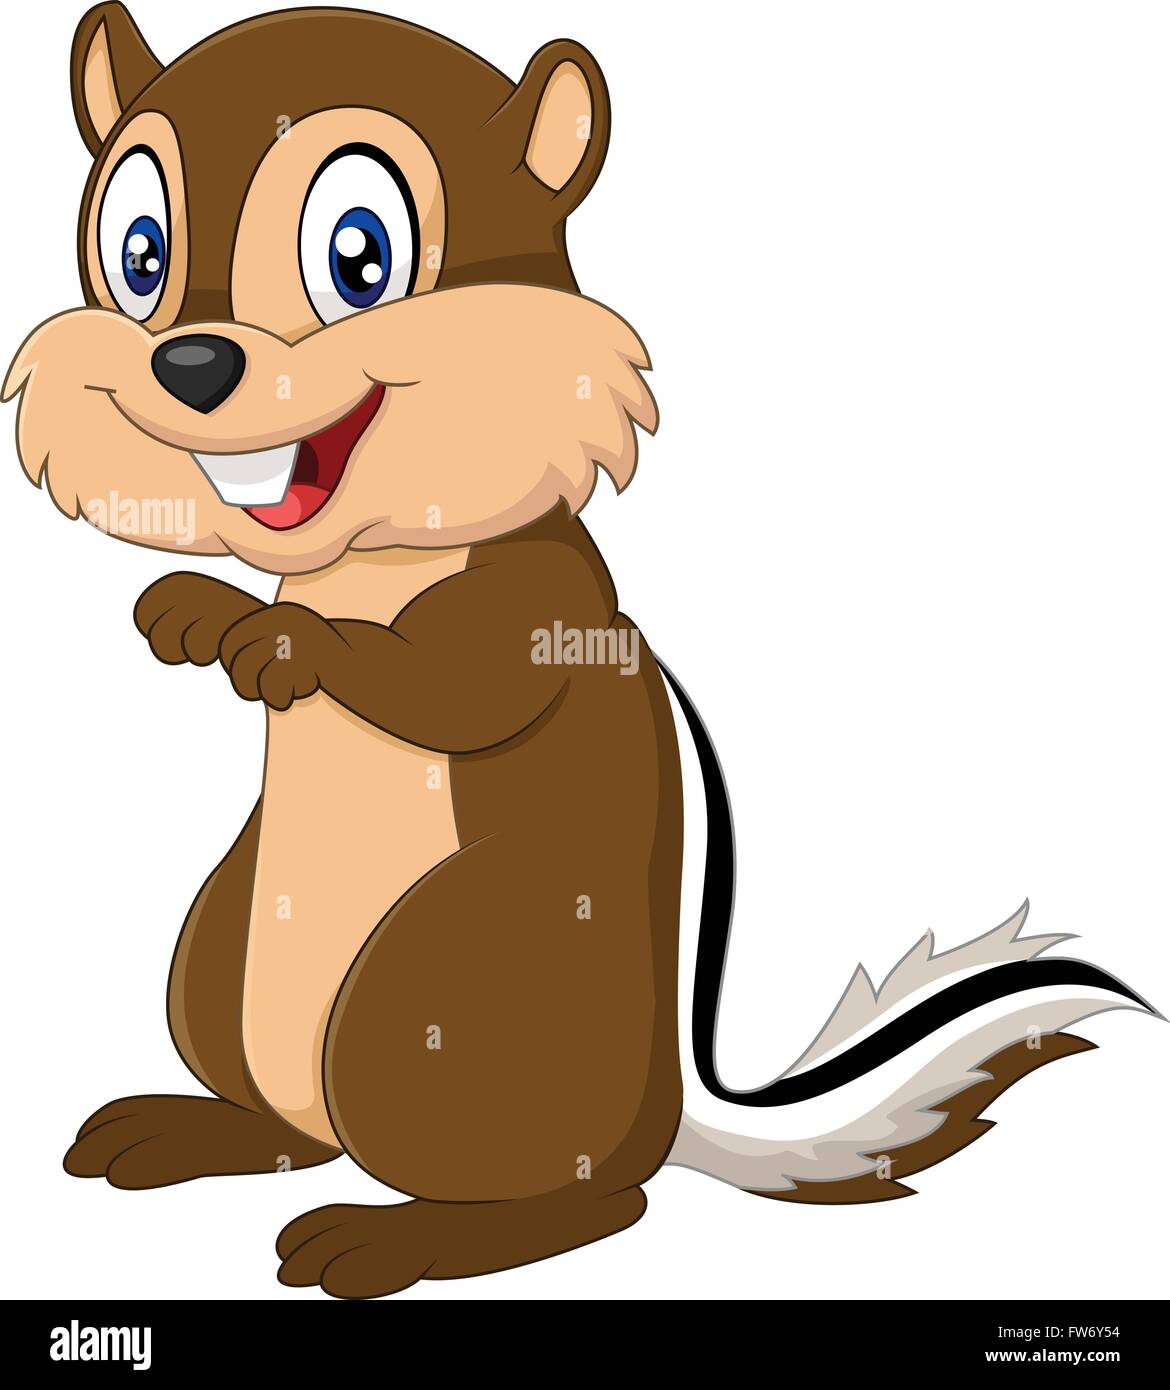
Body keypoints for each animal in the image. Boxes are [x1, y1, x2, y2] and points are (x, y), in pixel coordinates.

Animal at [3, 3, 1157, 1299]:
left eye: (360, 255)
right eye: (139, 250)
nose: (190, 362)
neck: (375, 555)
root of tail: (664, 1109)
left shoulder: (535, 601)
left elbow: (455, 689)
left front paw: (281, 635)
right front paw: (193, 608)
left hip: (436, 987)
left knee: (596, 1203)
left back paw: (402, 1234)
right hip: (220, 936)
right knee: (299, 1130)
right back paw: (192, 1128)